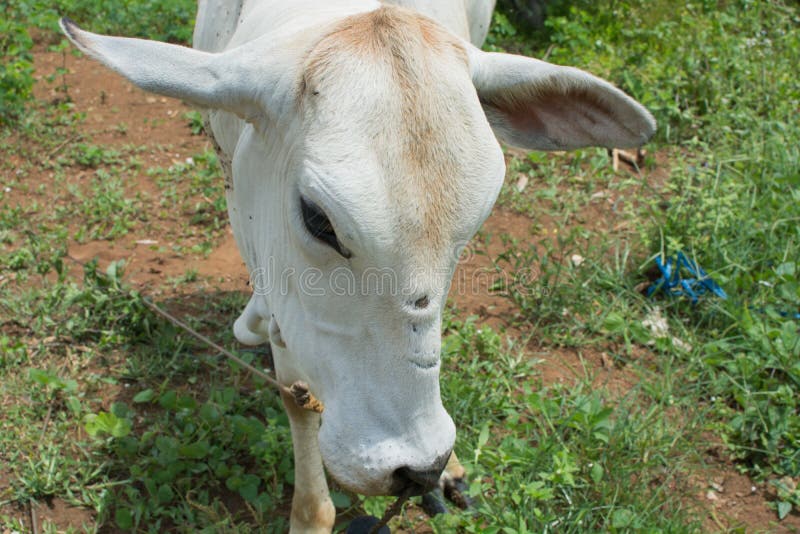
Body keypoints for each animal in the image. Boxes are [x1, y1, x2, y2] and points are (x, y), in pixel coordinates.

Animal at [60, 1, 655, 532]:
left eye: (471, 229)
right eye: (317, 218)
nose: (417, 468)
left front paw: (448, 467)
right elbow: (297, 397)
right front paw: (311, 516)